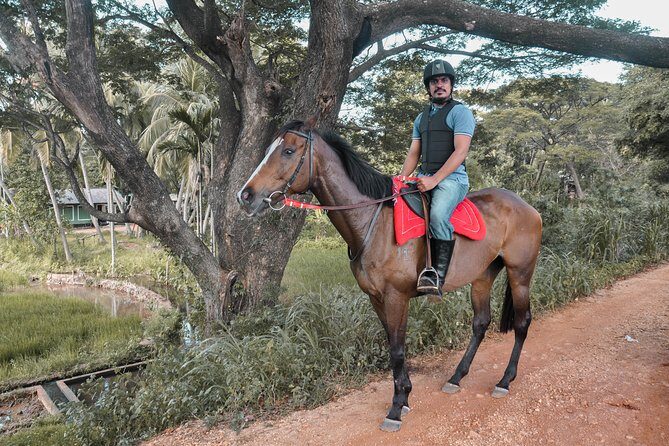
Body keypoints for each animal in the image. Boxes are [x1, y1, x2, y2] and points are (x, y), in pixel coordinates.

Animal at [237, 120, 542, 432]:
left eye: (288, 151)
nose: (246, 196)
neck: (372, 222)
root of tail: (526, 206)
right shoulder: (376, 297)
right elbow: (392, 346)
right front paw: (404, 397)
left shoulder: (396, 297)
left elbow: (397, 350)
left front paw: (396, 408)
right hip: (482, 276)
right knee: (480, 323)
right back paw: (457, 377)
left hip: (520, 274)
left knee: (522, 323)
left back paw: (505, 380)